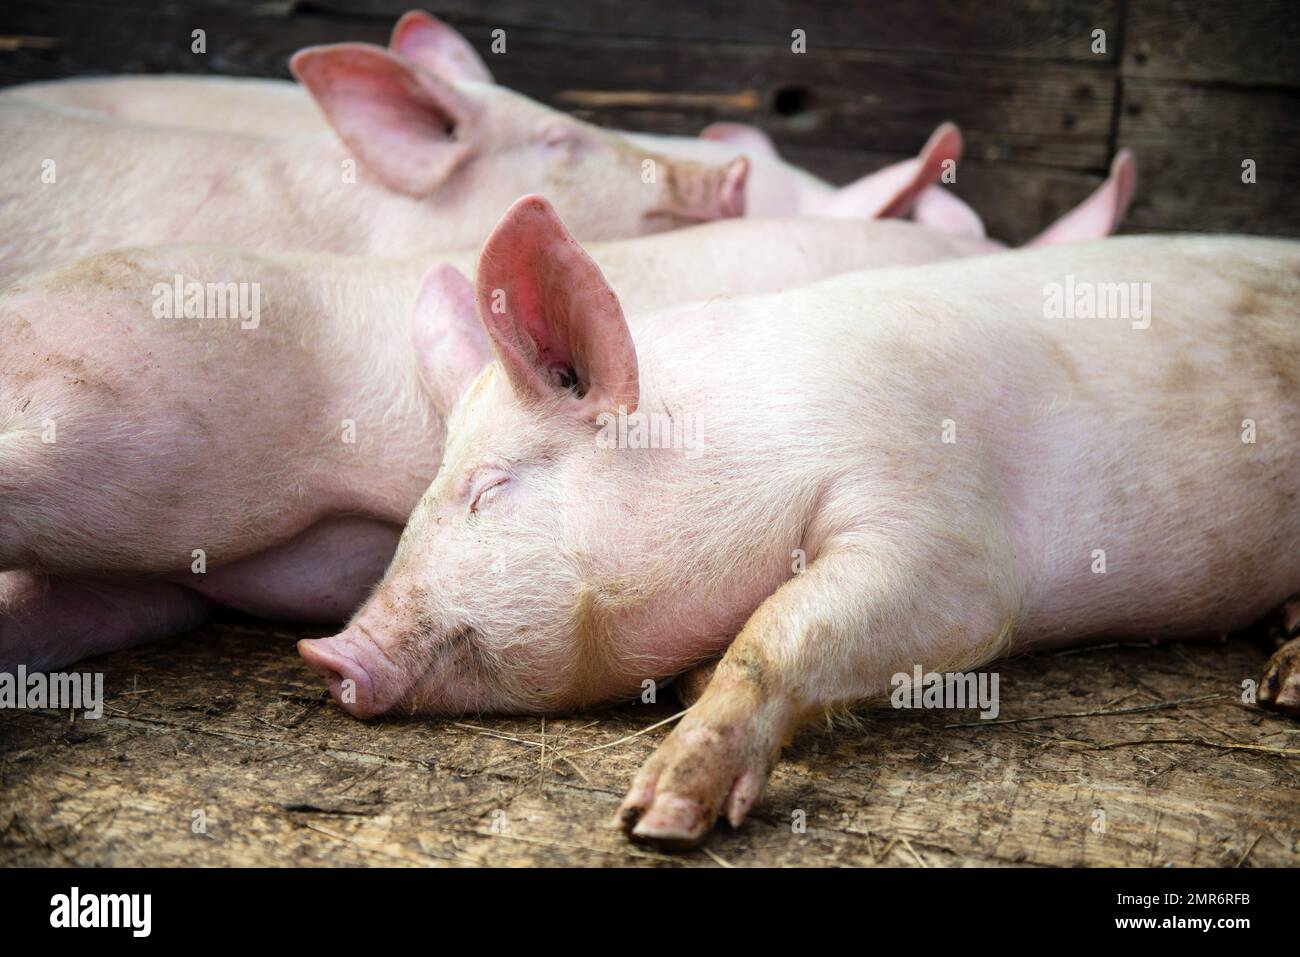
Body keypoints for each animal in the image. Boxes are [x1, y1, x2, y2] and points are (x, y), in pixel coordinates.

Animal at [297, 193, 1300, 850]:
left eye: (489, 488)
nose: (327, 652)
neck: (742, 450)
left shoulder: (942, 523)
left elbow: (787, 626)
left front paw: (656, 817)